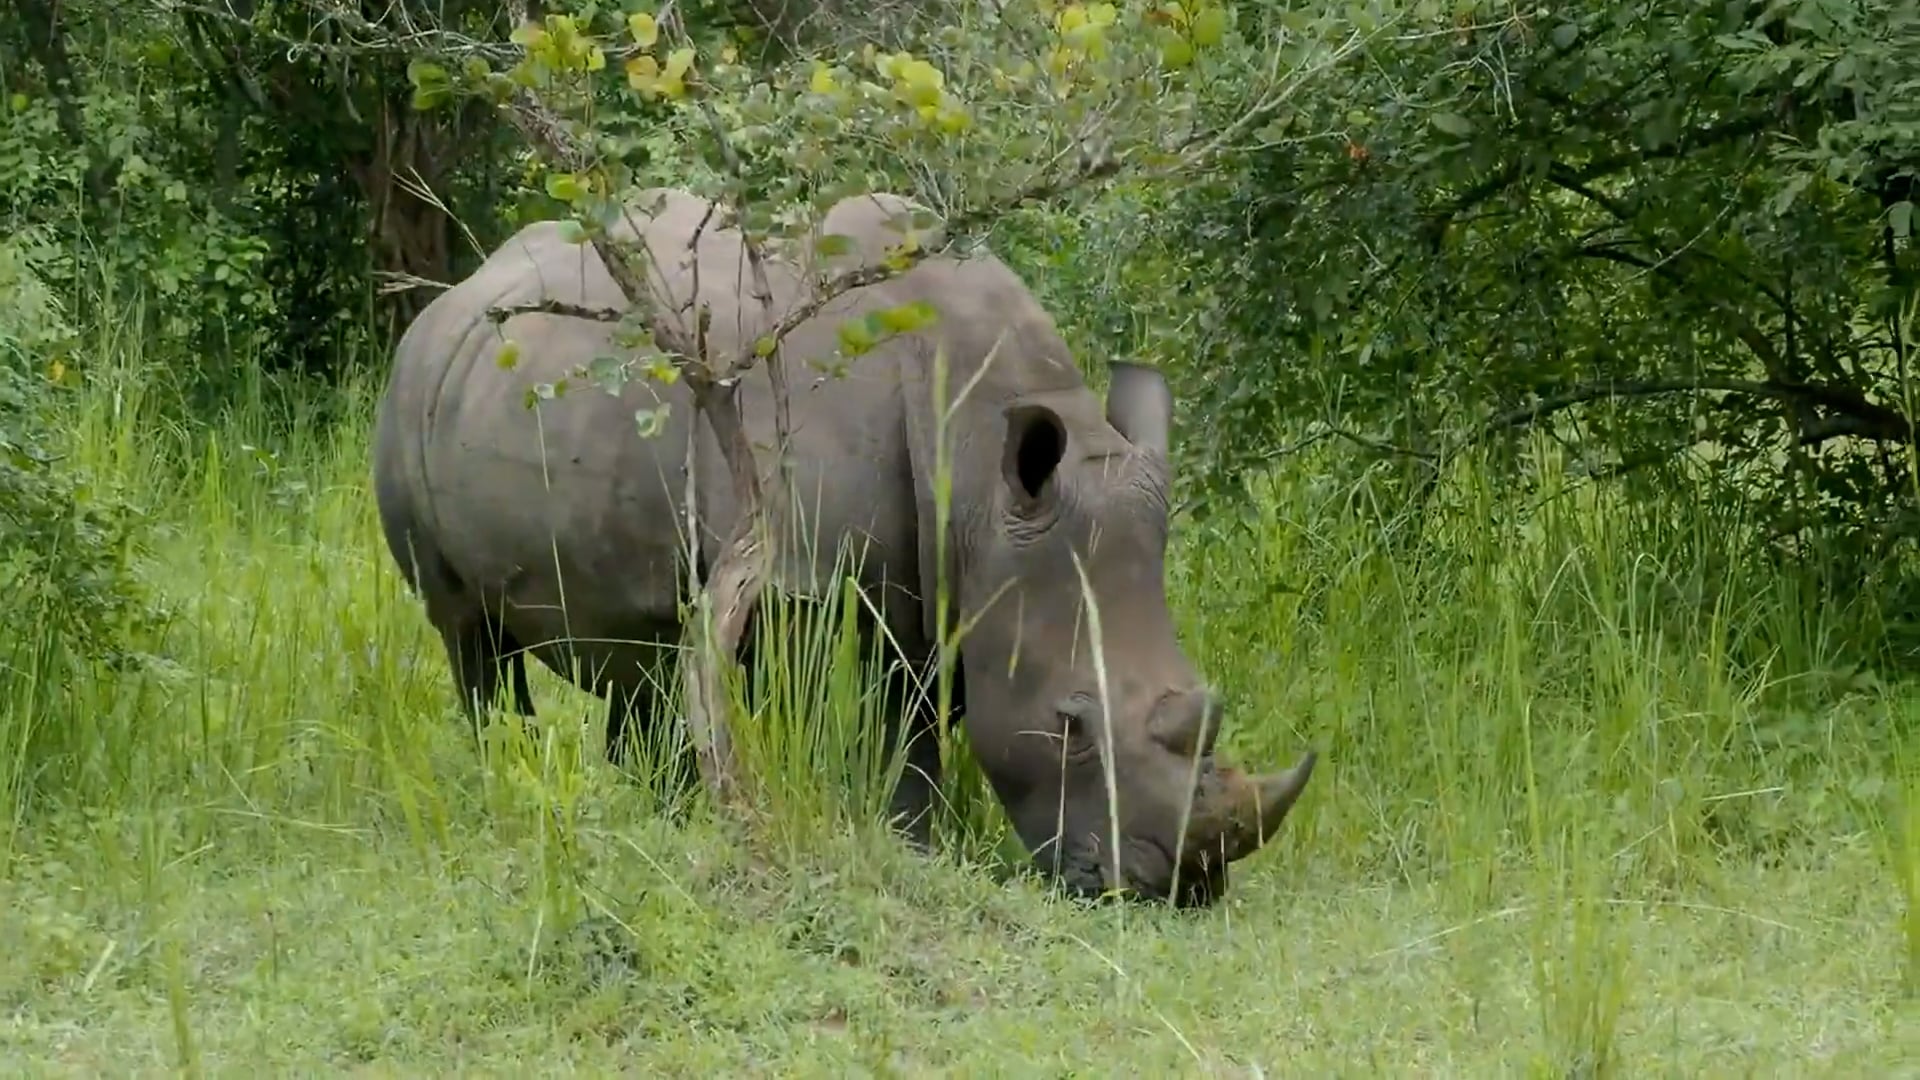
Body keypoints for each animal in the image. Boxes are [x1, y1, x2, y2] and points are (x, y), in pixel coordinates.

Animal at [371, 187, 1316, 906]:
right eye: (1069, 724)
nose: (1178, 887)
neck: (979, 465)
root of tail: (452, 300)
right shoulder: (804, 578)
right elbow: (892, 724)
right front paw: (911, 852)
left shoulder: (954, 589)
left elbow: (913, 714)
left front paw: (912, 847)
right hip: (411, 390)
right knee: (469, 636)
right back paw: (504, 775)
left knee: (645, 659)